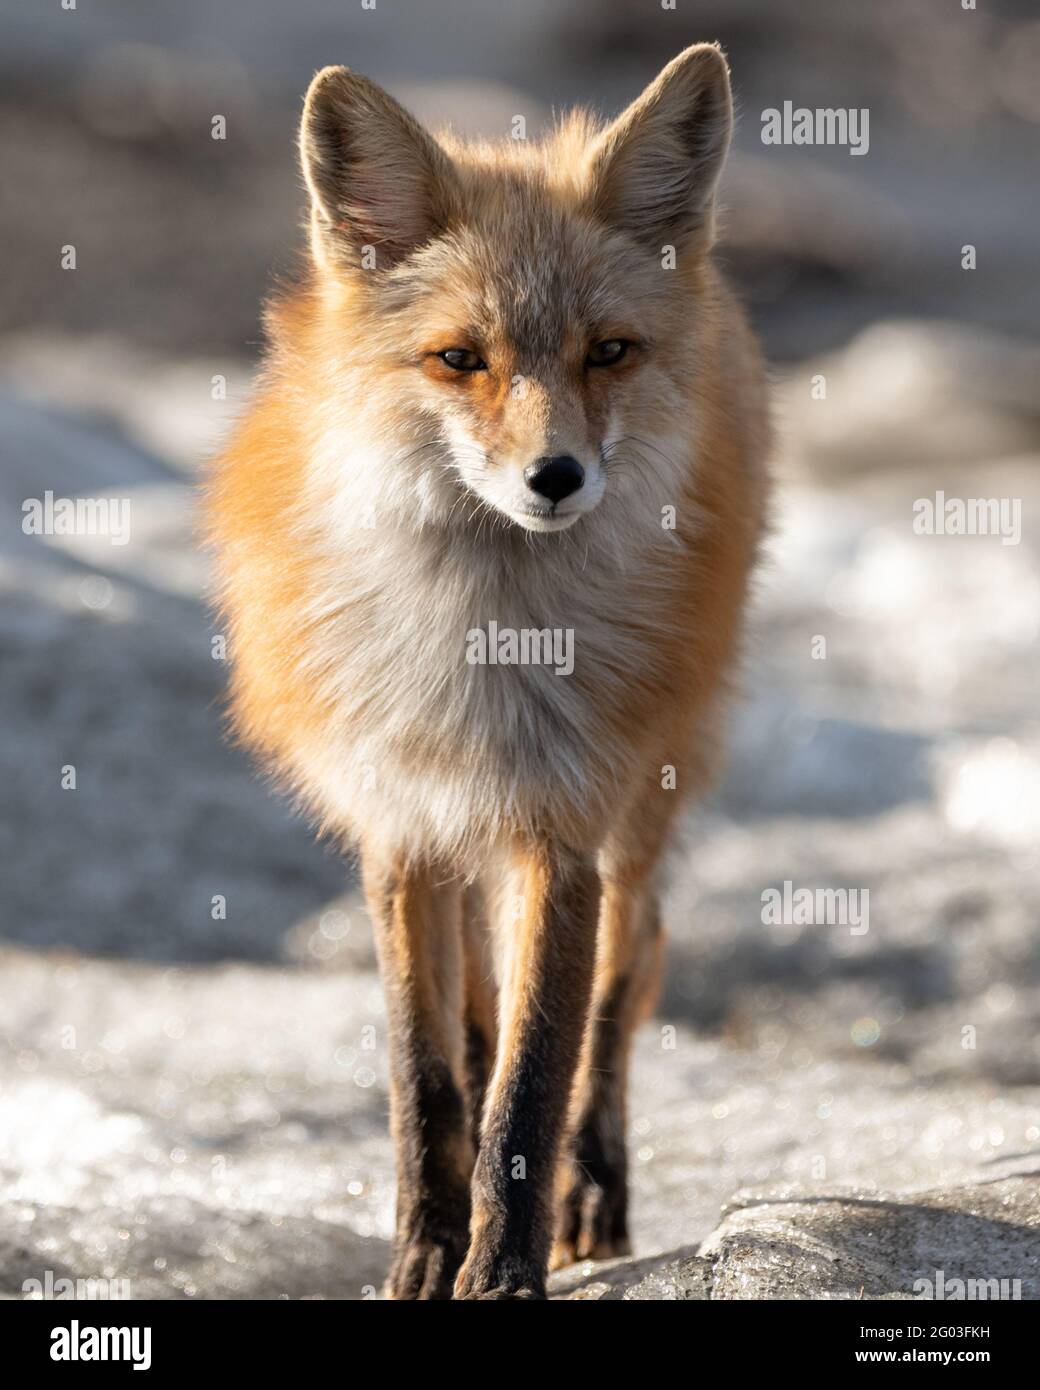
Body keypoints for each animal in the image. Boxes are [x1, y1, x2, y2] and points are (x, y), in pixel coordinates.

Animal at [206, 43, 770, 1300]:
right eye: (459, 359)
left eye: (608, 351)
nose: (555, 477)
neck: (486, 643)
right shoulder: (399, 827)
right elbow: (428, 1077)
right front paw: (426, 1253)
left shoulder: (559, 830)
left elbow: (531, 1079)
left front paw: (502, 1268)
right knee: (473, 1020)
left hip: (643, 806)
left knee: (622, 982)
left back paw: (592, 1189)